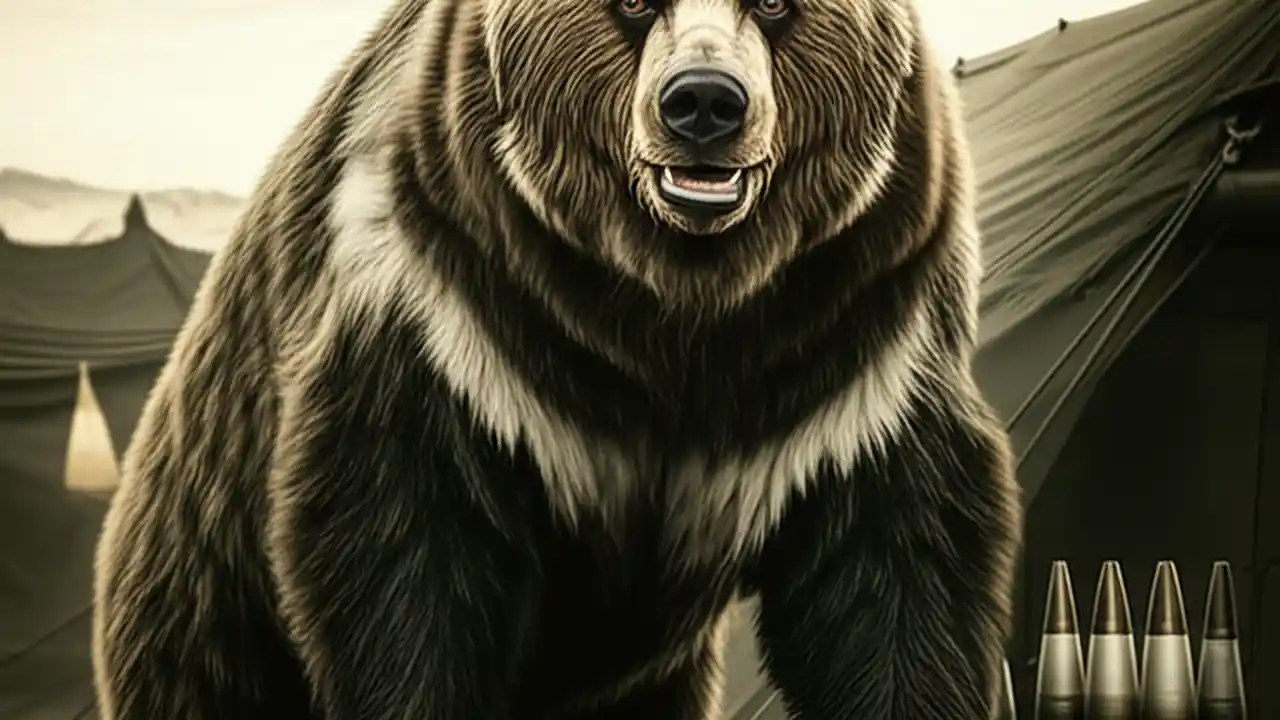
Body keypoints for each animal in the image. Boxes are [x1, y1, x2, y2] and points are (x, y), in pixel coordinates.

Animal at [91, 0, 1023, 718]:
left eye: (773, 4)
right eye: (634, 3)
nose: (704, 105)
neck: (680, 308)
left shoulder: (861, 344)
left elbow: (895, 584)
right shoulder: (445, 322)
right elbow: (401, 568)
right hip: (204, 587)